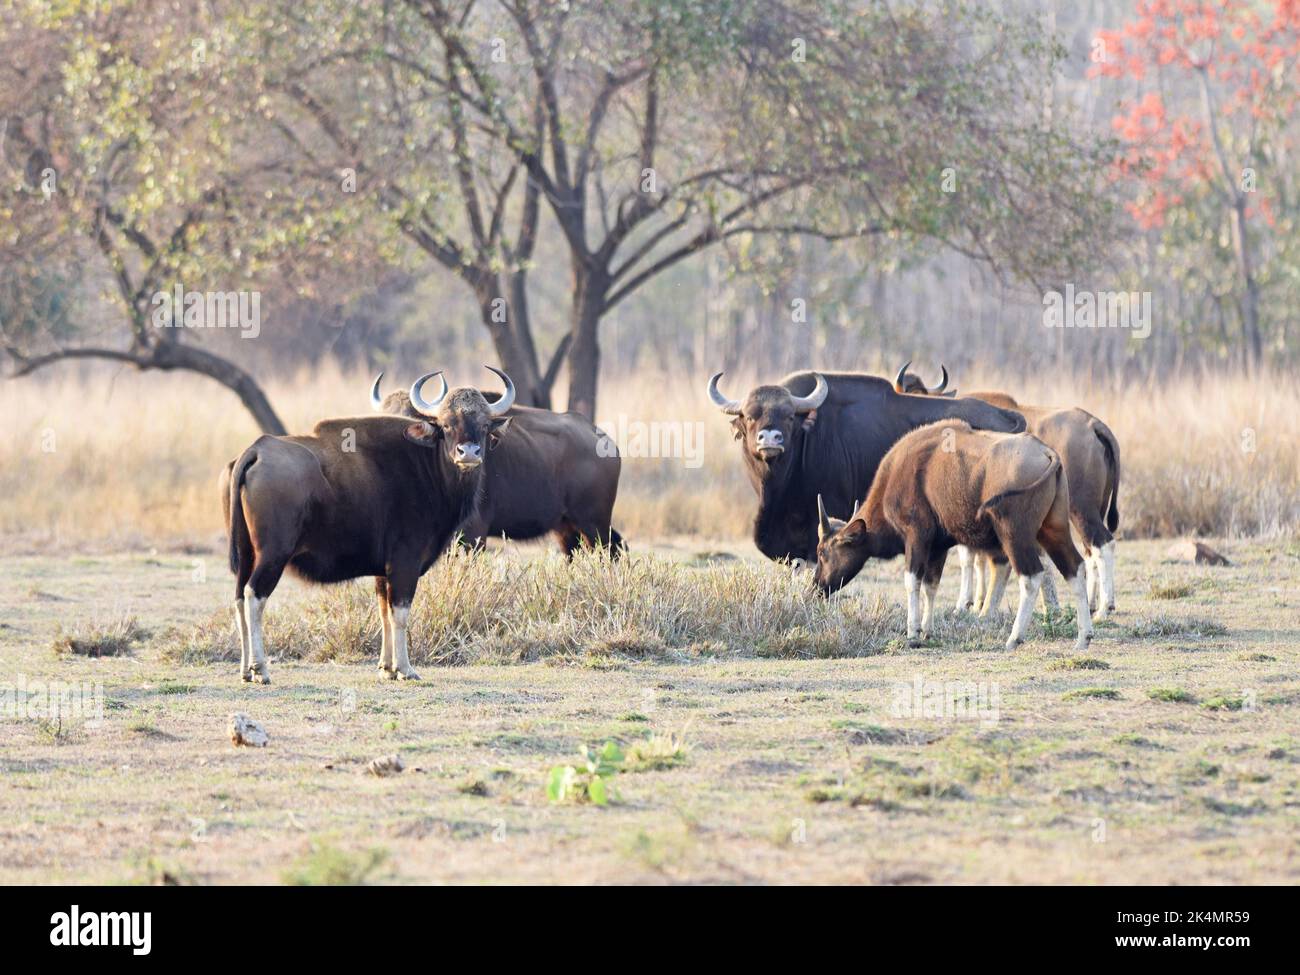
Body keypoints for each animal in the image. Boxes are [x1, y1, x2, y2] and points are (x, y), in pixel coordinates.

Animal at [220, 367, 515, 683]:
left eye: (483, 425)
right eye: (447, 425)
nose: (468, 453)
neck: (428, 468)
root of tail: (256, 450)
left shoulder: (382, 570)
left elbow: (384, 610)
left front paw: (386, 667)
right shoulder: (404, 562)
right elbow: (400, 613)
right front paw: (405, 669)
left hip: (246, 553)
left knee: (238, 598)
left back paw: (244, 670)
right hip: (273, 554)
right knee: (254, 595)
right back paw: (260, 668)